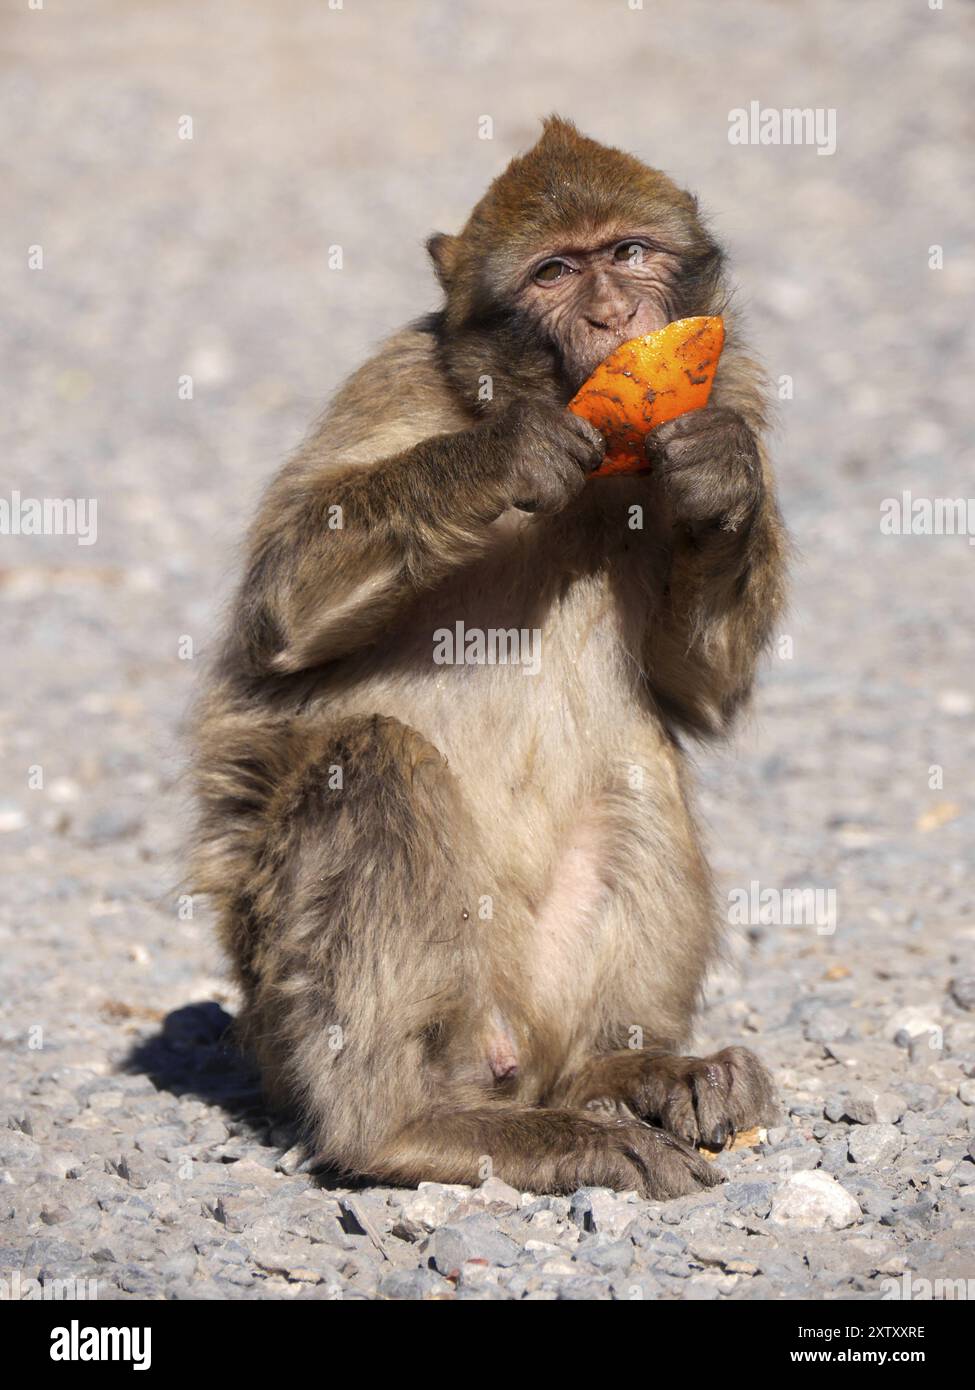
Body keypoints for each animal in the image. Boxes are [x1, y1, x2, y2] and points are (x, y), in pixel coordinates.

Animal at [191, 117, 786, 1201]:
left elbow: (699, 689)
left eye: (627, 251)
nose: (611, 310)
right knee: (369, 762)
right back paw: (409, 1127)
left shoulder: (741, 398)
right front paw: (503, 458)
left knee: (636, 763)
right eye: (553, 271)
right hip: (311, 1014)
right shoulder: (393, 389)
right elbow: (282, 609)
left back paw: (628, 1068)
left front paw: (718, 481)